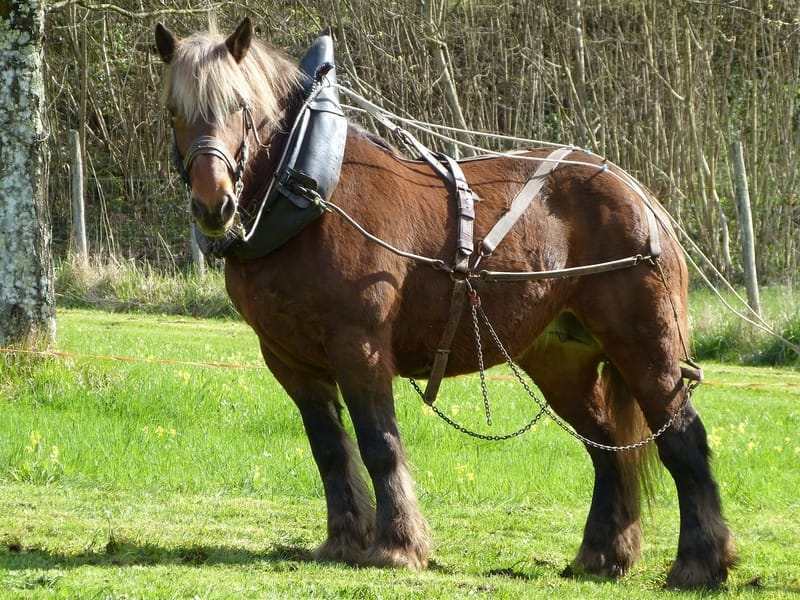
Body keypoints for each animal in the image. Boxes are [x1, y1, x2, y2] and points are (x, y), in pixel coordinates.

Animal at [153, 19, 736, 592]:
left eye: (239, 105)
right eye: (174, 110)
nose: (214, 204)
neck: (311, 195)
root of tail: (639, 194)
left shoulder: (360, 347)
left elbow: (379, 443)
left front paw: (397, 547)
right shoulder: (288, 360)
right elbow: (330, 450)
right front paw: (344, 542)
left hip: (646, 346)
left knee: (682, 437)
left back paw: (700, 563)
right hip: (561, 360)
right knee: (607, 447)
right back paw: (601, 555)